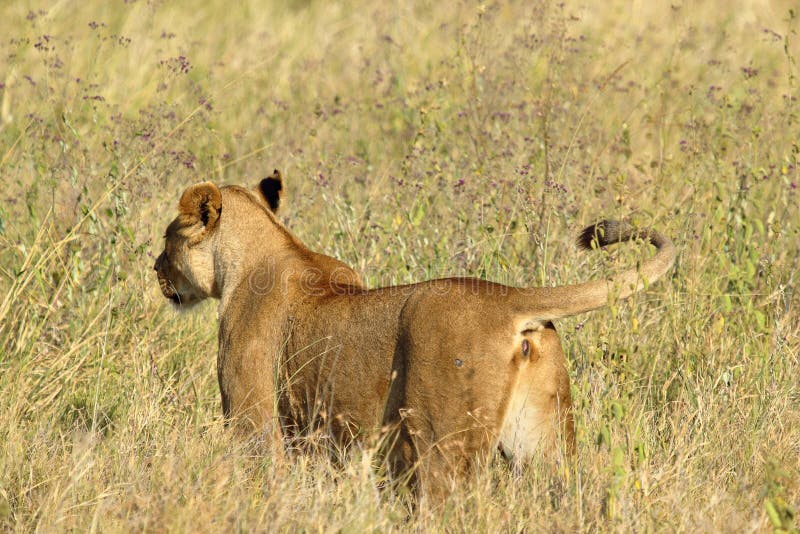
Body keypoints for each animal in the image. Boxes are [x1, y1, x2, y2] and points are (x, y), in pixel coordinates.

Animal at [153, 171, 676, 502]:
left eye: (166, 239)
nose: (155, 268)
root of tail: (510, 299)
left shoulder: (255, 421)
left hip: (440, 442)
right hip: (543, 441)